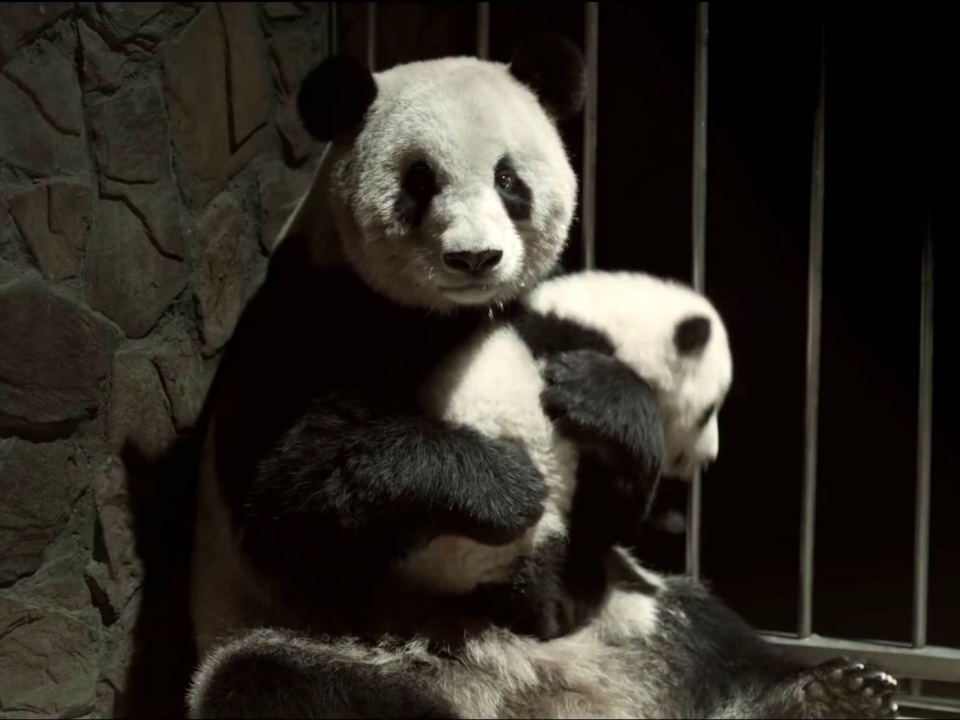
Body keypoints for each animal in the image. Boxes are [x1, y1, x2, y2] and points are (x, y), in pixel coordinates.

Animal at [188, 268, 901, 719]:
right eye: (710, 409)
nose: (710, 458)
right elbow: (294, 503)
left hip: (642, 621)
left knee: (714, 636)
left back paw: (830, 696)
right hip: (386, 650)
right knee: (274, 680)